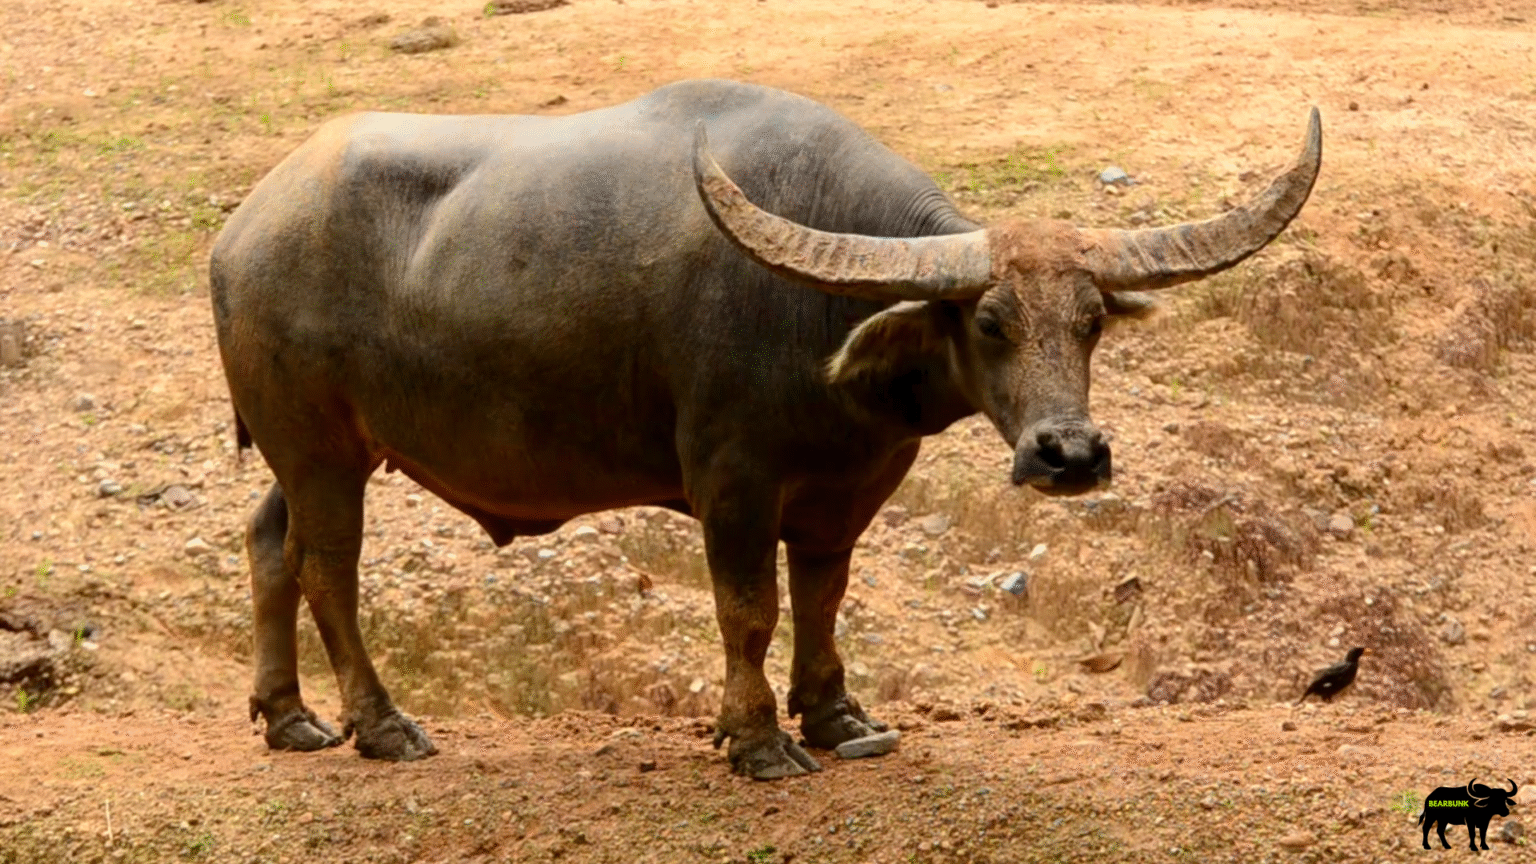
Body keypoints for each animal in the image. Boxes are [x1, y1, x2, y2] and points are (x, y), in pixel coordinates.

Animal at [210, 79, 1321, 779]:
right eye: (990, 323)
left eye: (1090, 322)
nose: (1071, 456)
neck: (823, 321)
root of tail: (242, 231)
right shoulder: (731, 487)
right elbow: (748, 609)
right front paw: (756, 742)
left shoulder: (846, 492)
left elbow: (822, 599)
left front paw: (837, 720)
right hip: (320, 449)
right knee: (326, 565)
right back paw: (382, 725)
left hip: (313, 450)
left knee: (268, 541)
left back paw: (290, 717)